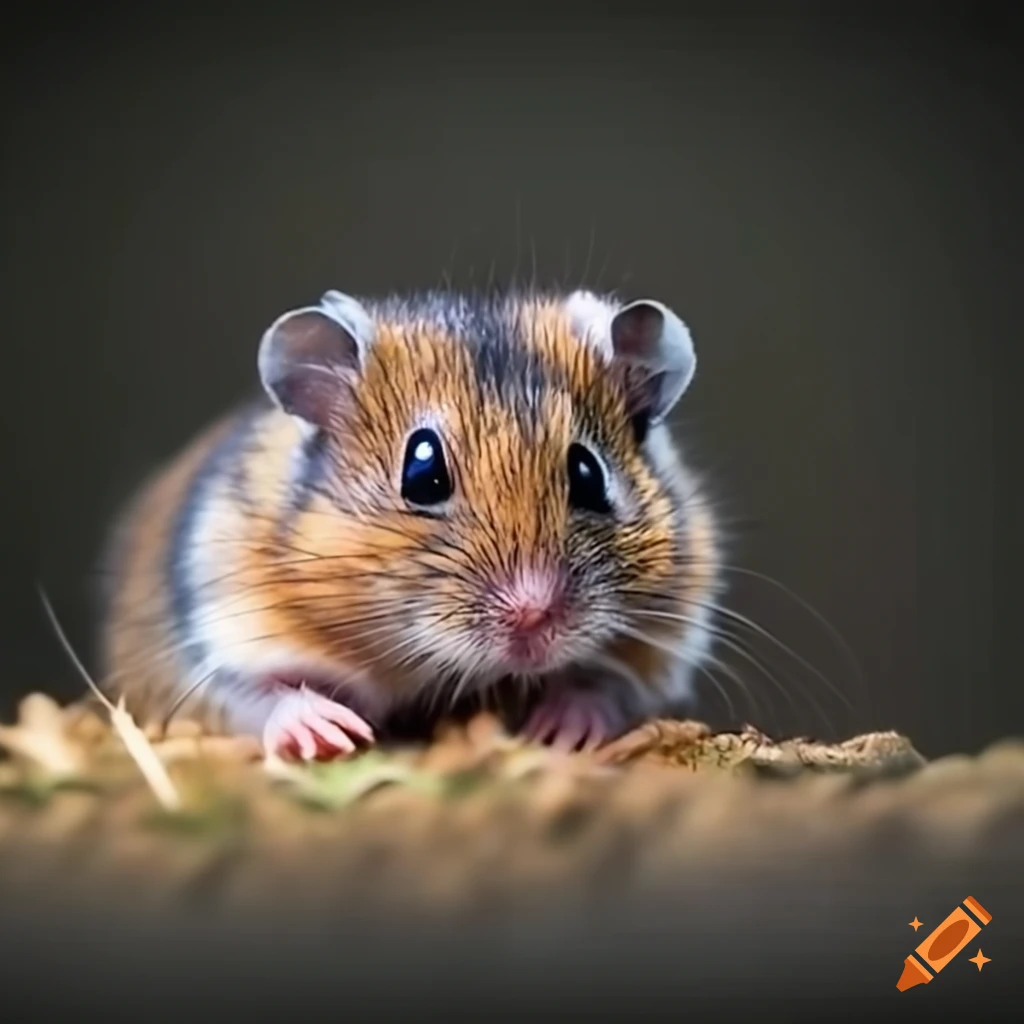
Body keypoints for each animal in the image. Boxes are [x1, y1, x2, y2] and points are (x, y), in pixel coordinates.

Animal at [97, 288, 723, 760]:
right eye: (422, 471)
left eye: (588, 472)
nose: (534, 618)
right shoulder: (218, 639)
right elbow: (259, 697)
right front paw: (330, 732)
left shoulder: (666, 643)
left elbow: (612, 685)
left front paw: (560, 728)